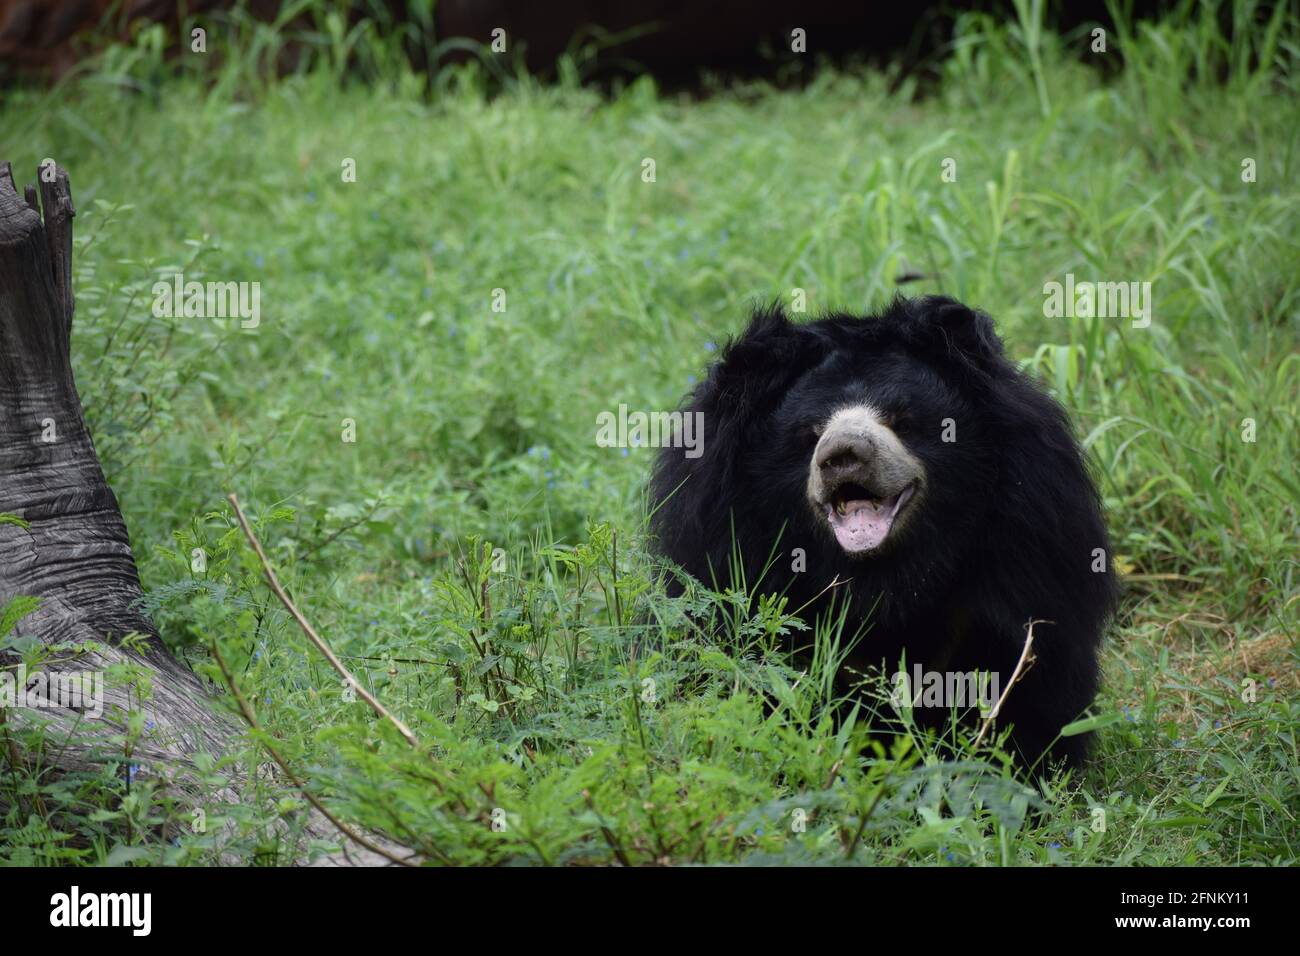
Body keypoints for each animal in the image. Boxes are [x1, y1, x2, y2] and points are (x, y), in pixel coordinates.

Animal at [649, 295, 1118, 771]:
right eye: (810, 432)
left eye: (901, 420)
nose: (843, 454)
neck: (882, 579)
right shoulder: (723, 544)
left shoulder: (1024, 546)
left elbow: (1022, 674)